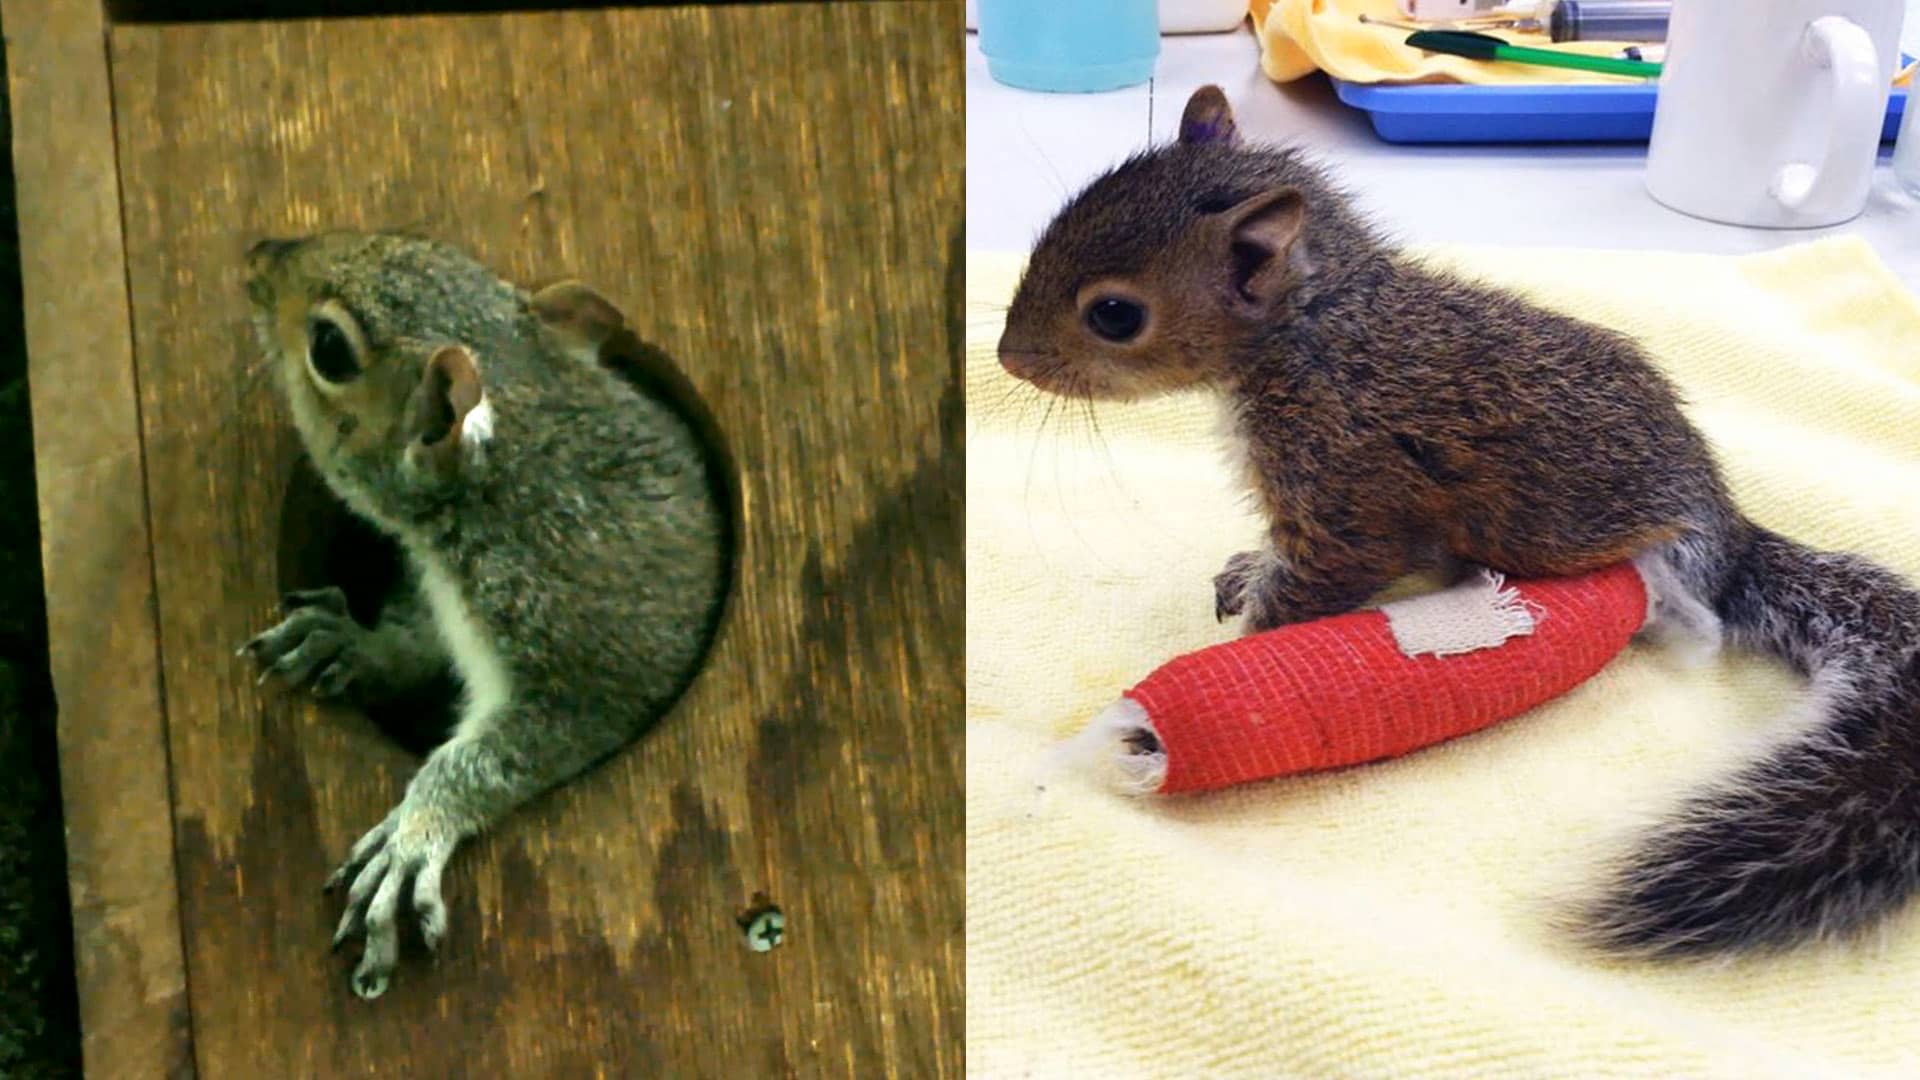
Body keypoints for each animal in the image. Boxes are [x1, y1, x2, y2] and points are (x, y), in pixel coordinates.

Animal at [239, 231, 729, 999]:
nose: (260, 257)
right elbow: (414, 644)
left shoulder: (576, 657)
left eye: (329, 347)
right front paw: (345, 641)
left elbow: (496, 757)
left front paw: (416, 830)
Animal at [998, 84, 1920, 960]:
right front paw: (1243, 569)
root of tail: (1731, 532)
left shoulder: (1345, 486)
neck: (1315, 328)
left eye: (1114, 315)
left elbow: (1315, 581)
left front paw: (1235, 653)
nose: (1006, 358)